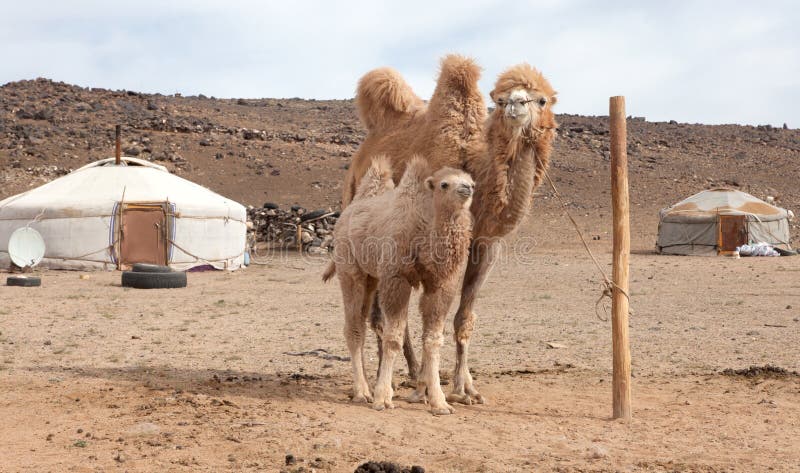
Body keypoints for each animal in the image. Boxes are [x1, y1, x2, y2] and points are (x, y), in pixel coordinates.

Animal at [324, 156, 474, 415]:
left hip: (372, 278)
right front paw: (383, 398)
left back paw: (364, 388)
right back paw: (362, 392)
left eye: (471, 181)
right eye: (444, 184)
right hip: (350, 269)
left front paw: (439, 402)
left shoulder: (442, 283)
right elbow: (393, 337)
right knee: (353, 327)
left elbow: (433, 339)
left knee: (362, 322)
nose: (467, 189)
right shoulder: (397, 278)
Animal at [340, 57, 558, 405]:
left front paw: (465, 388)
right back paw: (383, 382)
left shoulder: (485, 245)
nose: (516, 105)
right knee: (378, 316)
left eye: (542, 100)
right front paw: (427, 388)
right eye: (500, 100)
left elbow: (464, 318)